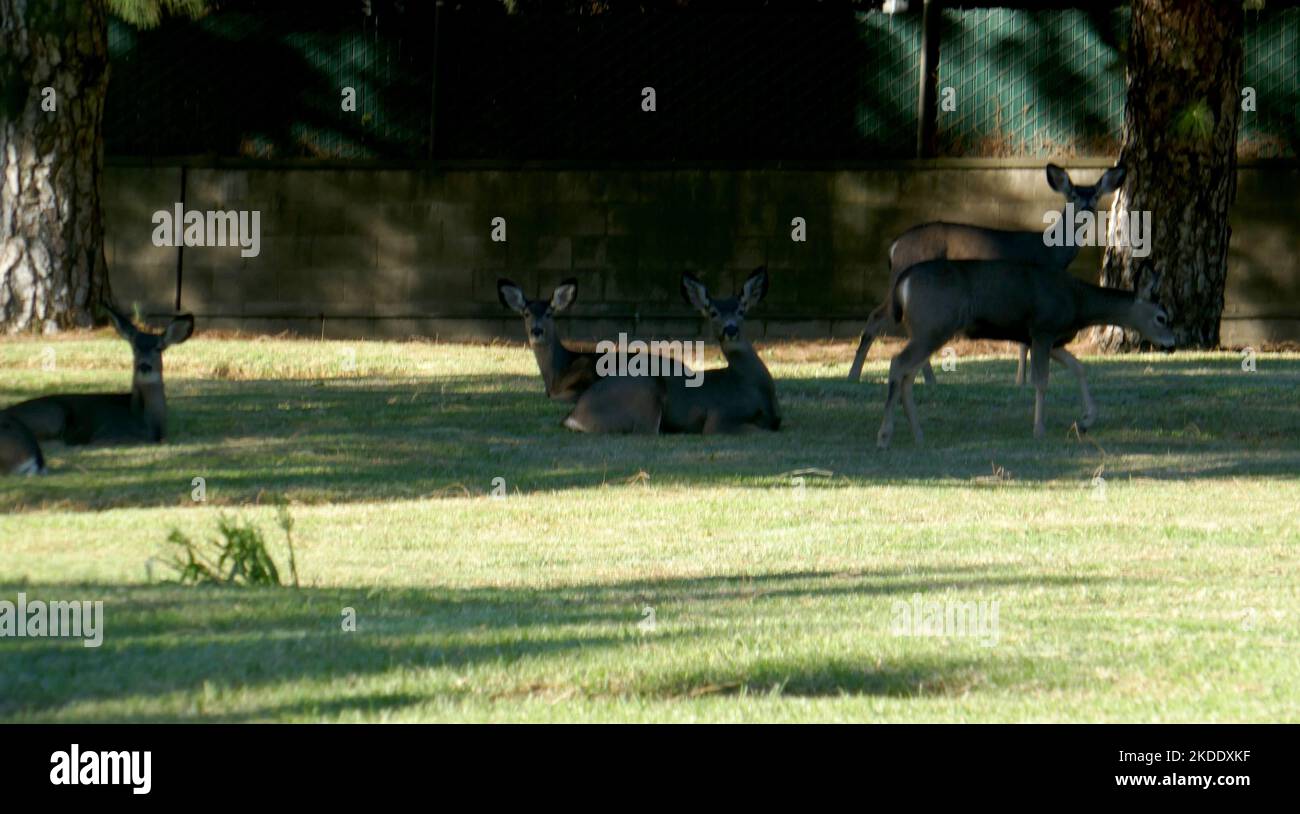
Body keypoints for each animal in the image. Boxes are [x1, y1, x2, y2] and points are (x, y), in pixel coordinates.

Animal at [1, 304, 195, 467]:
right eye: (134, 347)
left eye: (159, 348)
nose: (144, 366)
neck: (148, 420)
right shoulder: (109, 432)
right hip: (53, 414)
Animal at [847, 163, 1128, 391]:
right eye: (1073, 195)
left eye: (1095, 194)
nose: (1087, 207)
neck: (1051, 251)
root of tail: (894, 247)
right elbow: (1024, 341)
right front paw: (1022, 381)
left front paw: (1021, 380)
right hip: (904, 278)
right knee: (876, 317)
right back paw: (855, 375)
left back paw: (925, 379)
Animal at [875, 260, 1175, 449]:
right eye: (1161, 317)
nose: (1172, 344)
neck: (1078, 304)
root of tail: (903, 283)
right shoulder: (1043, 329)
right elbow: (1041, 381)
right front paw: (1039, 429)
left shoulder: (1047, 338)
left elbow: (1079, 367)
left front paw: (1086, 420)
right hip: (934, 326)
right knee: (898, 363)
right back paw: (885, 435)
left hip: (927, 329)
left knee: (907, 374)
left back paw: (918, 434)